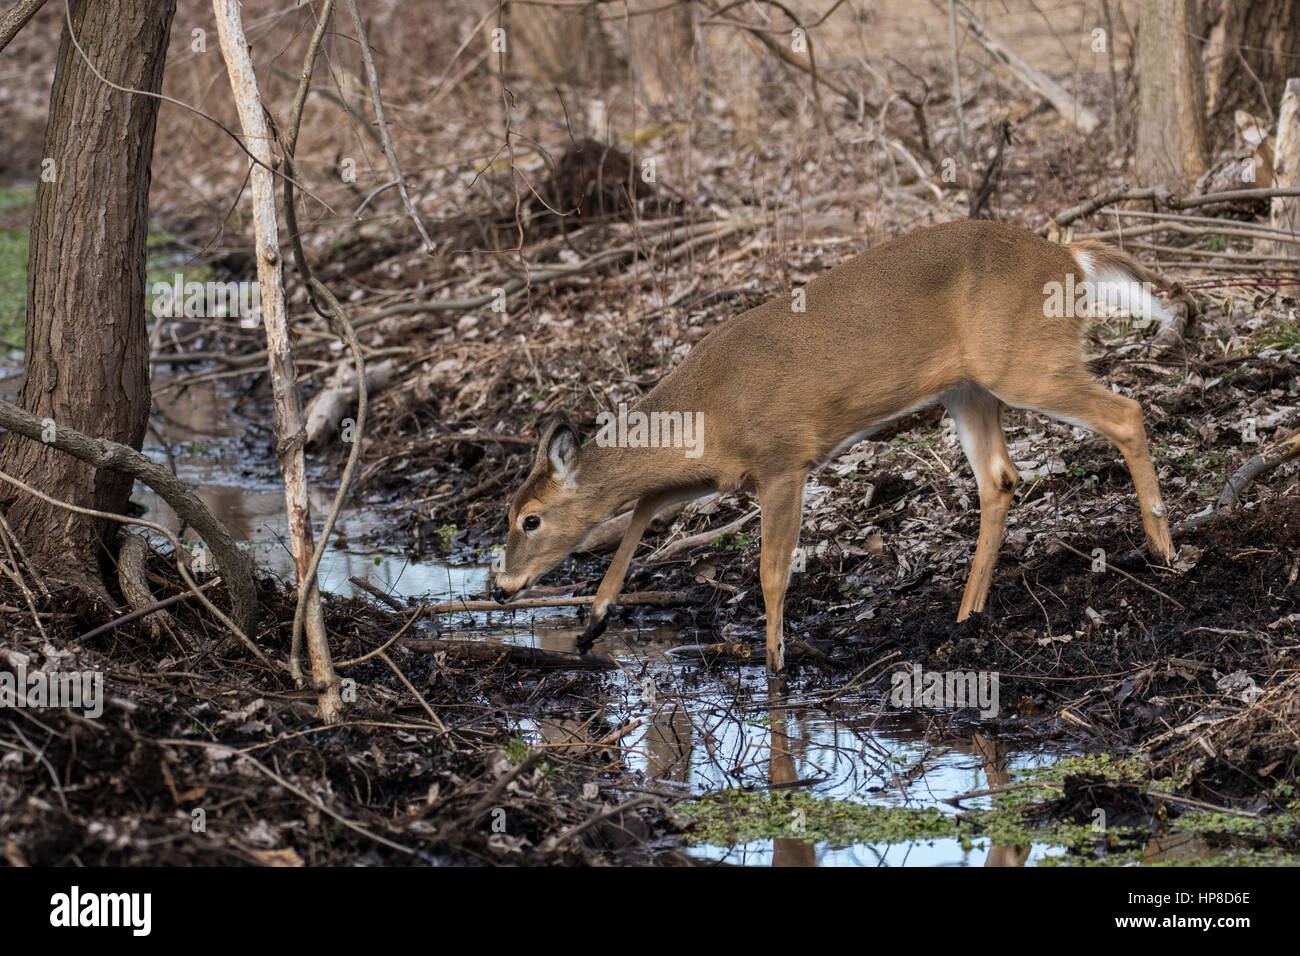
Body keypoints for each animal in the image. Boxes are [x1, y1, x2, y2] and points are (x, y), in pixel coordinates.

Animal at [491, 219, 1178, 673]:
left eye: (530, 519)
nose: (500, 588)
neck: (708, 410)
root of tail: (1071, 258)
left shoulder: (782, 461)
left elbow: (770, 571)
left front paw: (773, 659)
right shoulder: (716, 473)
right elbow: (641, 507)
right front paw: (593, 622)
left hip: (1024, 362)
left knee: (1126, 413)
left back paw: (1165, 550)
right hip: (968, 388)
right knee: (1000, 478)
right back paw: (966, 616)